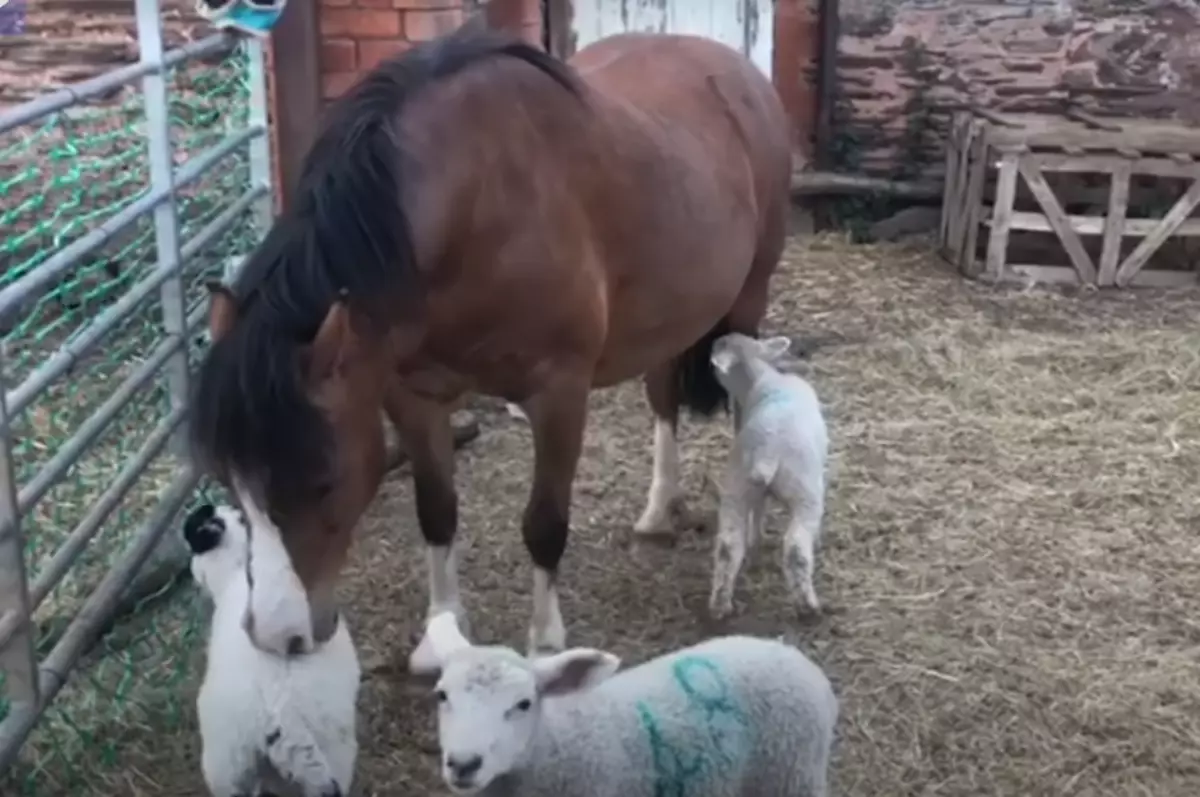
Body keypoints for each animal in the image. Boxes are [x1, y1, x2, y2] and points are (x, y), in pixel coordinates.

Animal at [189, 24, 787, 667]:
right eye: (230, 481)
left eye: (324, 481)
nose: (278, 639)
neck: (477, 209)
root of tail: (733, 67)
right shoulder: (411, 396)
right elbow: (436, 512)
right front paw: (441, 630)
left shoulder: (559, 393)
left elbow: (544, 524)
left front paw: (545, 647)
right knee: (662, 397)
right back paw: (658, 509)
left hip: (748, 300)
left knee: (745, 402)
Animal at [705, 333, 830, 619]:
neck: (763, 377)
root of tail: (767, 452)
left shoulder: (756, 491)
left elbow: (758, 516)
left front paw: (756, 545)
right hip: (805, 493)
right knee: (796, 548)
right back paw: (808, 607)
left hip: (737, 487)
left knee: (728, 547)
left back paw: (720, 606)